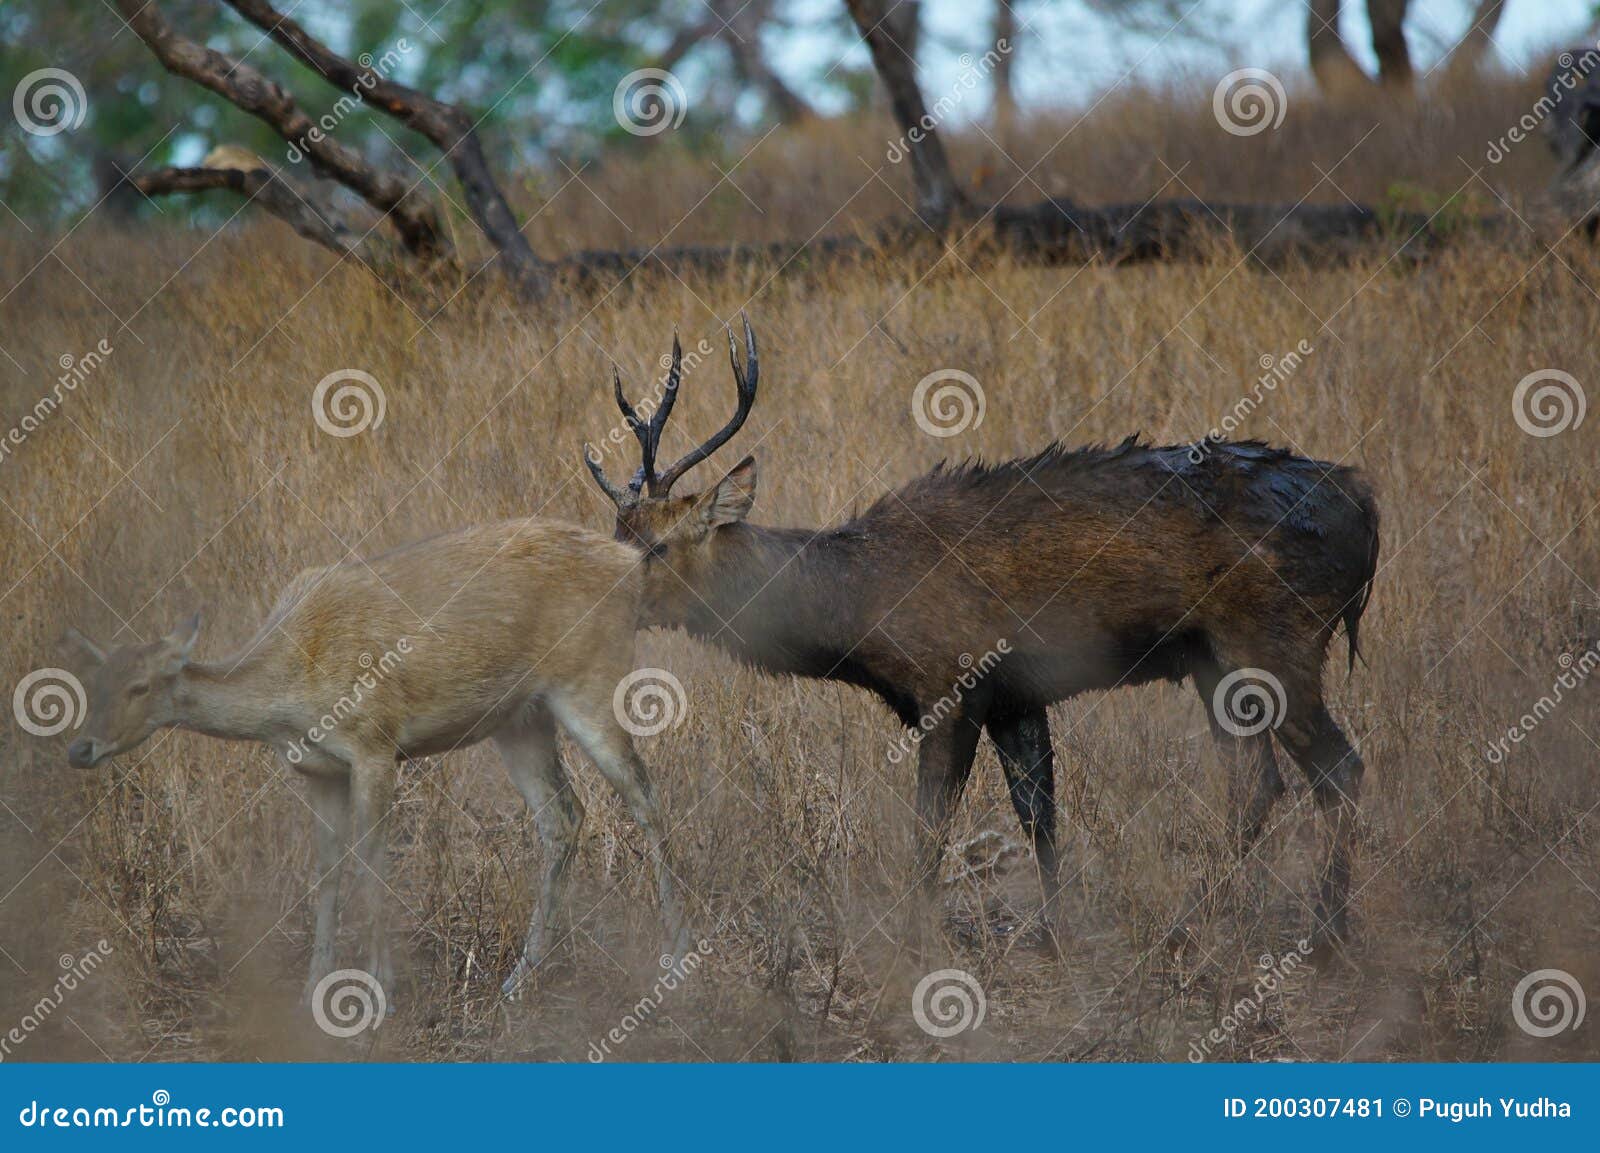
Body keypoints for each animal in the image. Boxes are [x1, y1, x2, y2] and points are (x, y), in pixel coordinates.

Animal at [63, 517, 690, 1003]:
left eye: (140, 686)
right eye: (94, 682)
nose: (80, 748)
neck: (293, 686)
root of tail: (630, 564)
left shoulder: (374, 745)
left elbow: (372, 863)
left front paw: (379, 985)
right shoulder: (317, 771)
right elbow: (327, 871)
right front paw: (312, 985)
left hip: (592, 681)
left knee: (645, 797)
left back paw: (675, 953)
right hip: (518, 719)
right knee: (562, 815)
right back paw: (520, 977)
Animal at [583, 318, 1380, 956]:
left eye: (657, 546)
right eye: (615, 531)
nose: (596, 598)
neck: (860, 599)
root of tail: (1367, 510)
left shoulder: (951, 682)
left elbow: (930, 828)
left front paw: (916, 940)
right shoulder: (1015, 696)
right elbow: (1040, 816)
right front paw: (1057, 934)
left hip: (1276, 635)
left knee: (1338, 770)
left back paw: (1327, 936)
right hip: (1217, 662)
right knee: (1257, 784)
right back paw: (1209, 916)